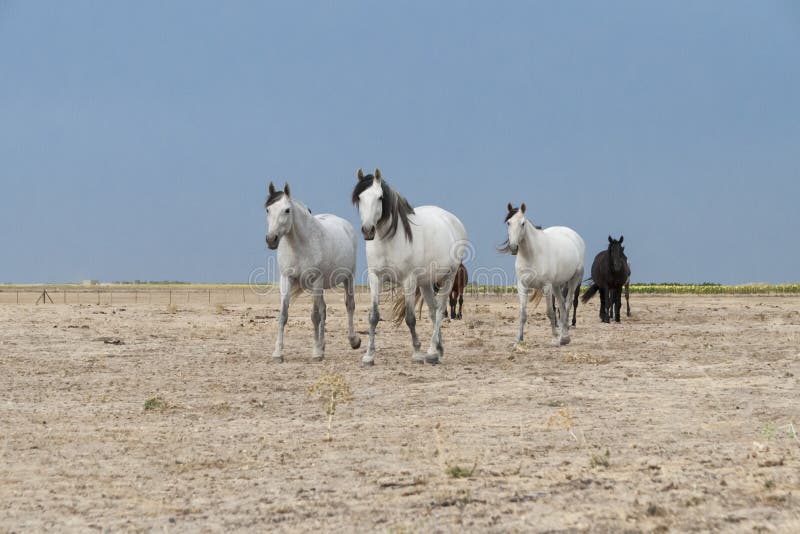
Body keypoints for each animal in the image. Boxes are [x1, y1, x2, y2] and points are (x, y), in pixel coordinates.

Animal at [265, 181, 361, 362]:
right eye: (268, 209)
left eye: (287, 210)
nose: (271, 239)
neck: (301, 245)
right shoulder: (286, 279)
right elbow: (283, 315)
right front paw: (278, 353)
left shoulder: (316, 279)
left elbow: (315, 316)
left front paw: (316, 352)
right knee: (324, 309)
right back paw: (323, 346)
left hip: (348, 277)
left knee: (349, 305)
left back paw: (353, 340)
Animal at [352, 168, 467, 365]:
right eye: (360, 197)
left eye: (380, 197)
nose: (368, 230)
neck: (389, 240)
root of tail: (453, 220)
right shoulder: (375, 277)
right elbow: (373, 316)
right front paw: (368, 355)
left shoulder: (409, 280)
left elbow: (410, 318)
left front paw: (417, 352)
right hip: (427, 282)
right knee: (433, 311)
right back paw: (438, 349)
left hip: (449, 277)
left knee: (440, 311)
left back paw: (431, 352)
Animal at [500, 203, 585, 346]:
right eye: (508, 222)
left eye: (522, 223)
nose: (513, 247)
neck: (532, 255)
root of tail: (575, 236)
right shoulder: (522, 286)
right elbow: (523, 314)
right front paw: (518, 339)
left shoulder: (546, 286)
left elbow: (550, 312)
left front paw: (554, 337)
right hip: (556, 286)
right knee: (562, 306)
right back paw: (564, 336)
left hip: (573, 280)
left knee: (567, 305)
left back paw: (564, 337)